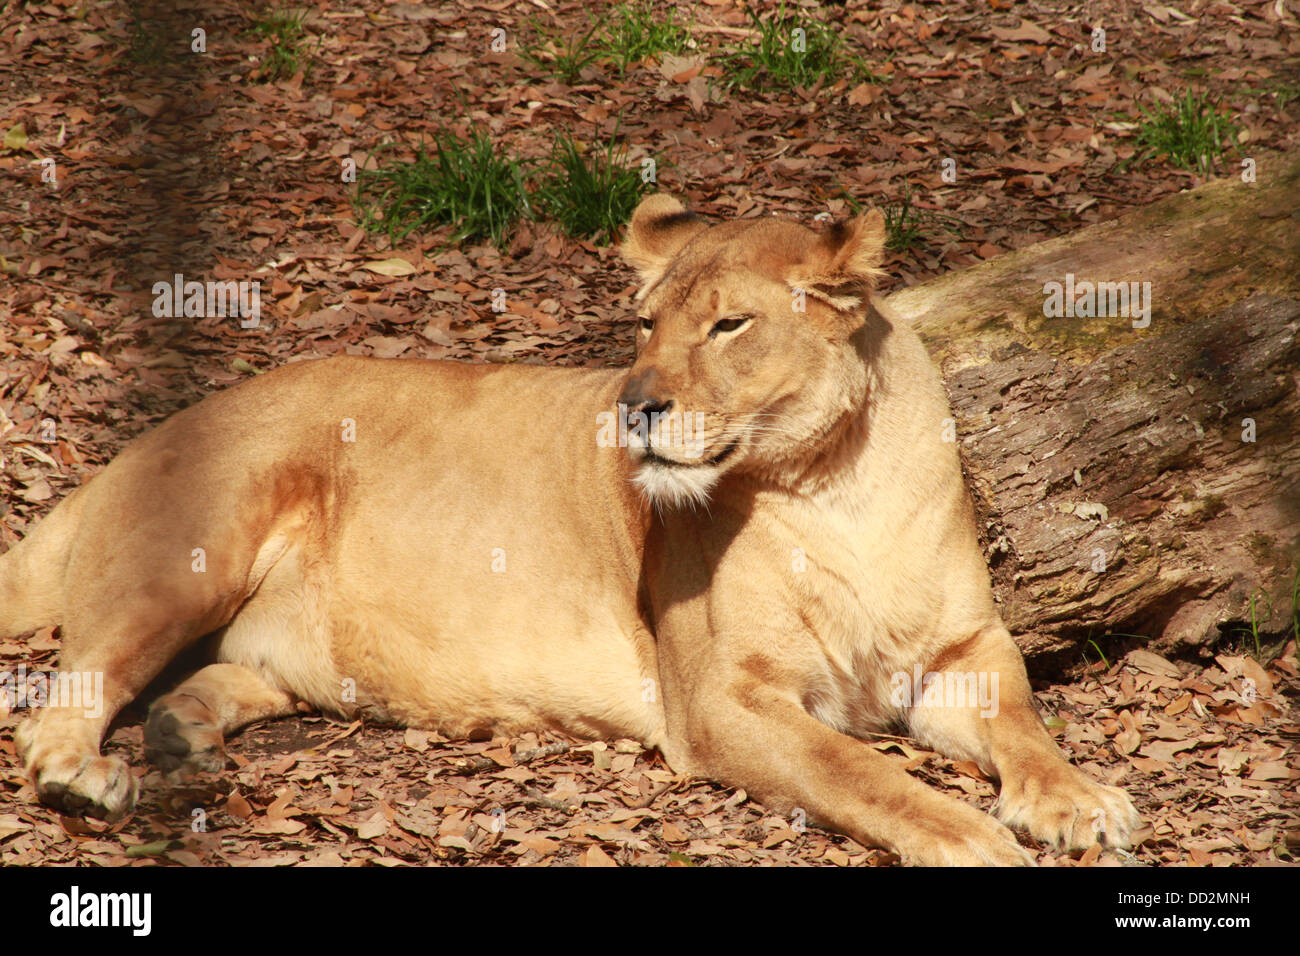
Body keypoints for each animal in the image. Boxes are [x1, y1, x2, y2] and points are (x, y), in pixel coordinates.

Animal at [0, 194, 1137, 865]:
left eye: (728, 324)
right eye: (645, 323)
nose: (633, 405)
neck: (829, 482)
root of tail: (149, 432)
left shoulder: (963, 652)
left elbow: (1027, 725)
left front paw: (1080, 799)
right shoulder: (725, 700)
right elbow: (863, 772)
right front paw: (974, 838)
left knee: (202, 679)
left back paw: (180, 736)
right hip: (196, 553)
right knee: (65, 690)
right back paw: (87, 773)